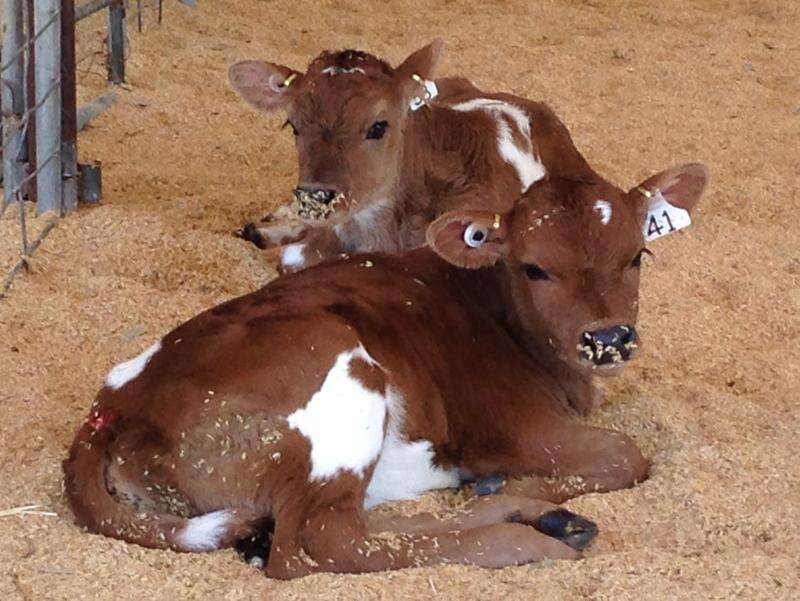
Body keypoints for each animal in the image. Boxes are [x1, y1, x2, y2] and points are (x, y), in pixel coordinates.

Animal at [63, 159, 707, 579]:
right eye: (533, 267)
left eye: (638, 255)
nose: (608, 338)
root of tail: (114, 407)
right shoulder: (518, 428)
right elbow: (629, 456)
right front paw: (513, 482)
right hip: (343, 374)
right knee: (324, 543)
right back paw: (525, 534)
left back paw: (545, 519)